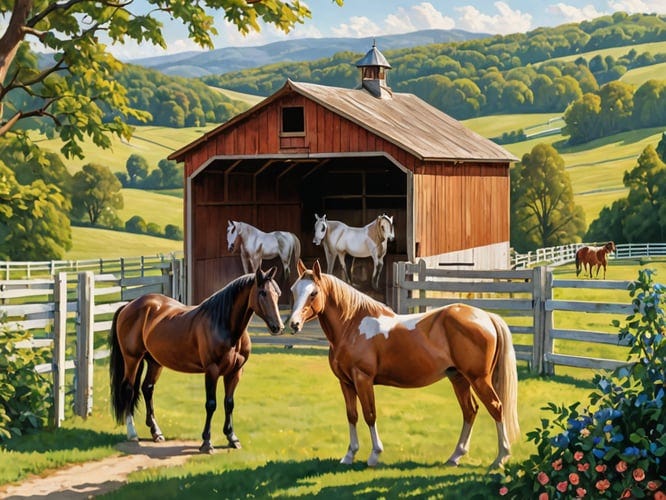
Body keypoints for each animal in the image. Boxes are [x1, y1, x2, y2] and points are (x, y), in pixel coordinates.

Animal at [109, 267, 284, 453]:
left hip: (155, 362)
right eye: (263, 293)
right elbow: (211, 404)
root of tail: (128, 305)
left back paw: (156, 432)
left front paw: (232, 438)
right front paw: (207, 442)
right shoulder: (212, 370)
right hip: (132, 358)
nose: (278, 327)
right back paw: (132, 432)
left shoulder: (235, 372)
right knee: (128, 389)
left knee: (147, 389)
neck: (223, 325)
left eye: (277, 293)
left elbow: (229, 403)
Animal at [286, 260, 520, 470]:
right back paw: (455, 457)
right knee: (469, 411)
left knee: (496, 408)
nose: (294, 324)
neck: (352, 326)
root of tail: (486, 316)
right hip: (458, 378)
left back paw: (501, 458)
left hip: (478, 379)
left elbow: (370, 414)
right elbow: (352, 416)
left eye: (313, 293)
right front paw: (349, 455)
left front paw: (374, 455)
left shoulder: (363, 379)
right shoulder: (346, 382)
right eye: (293, 290)